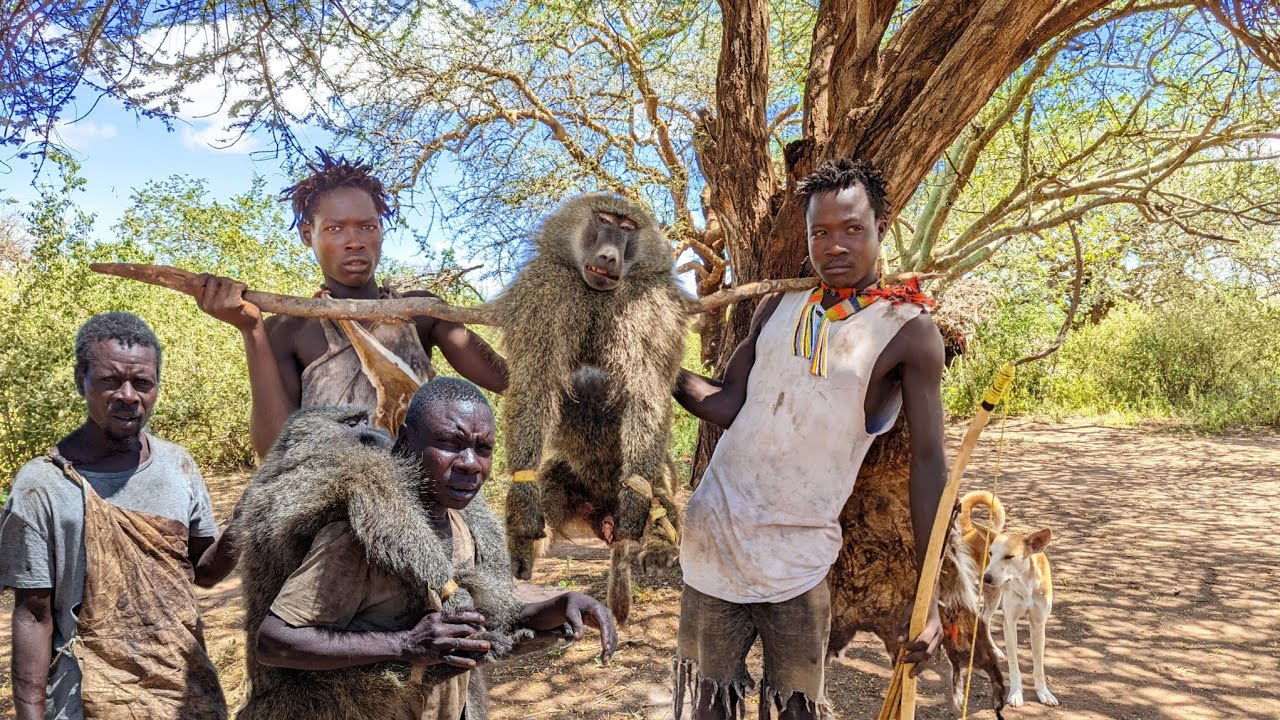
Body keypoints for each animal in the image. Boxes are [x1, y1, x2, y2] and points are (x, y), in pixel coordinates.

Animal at [495, 192, 687, 625]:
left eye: (627, 228)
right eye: (603, 220)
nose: (609, 256)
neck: (597, 294)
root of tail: (603, 518)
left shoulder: (653, 308)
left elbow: (646, 393)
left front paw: (640, 508)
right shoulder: (547, 289)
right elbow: (535, 384)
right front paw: (522, 509)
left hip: (653, 485)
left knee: (658, 498)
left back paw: (657, 544)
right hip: (570, 491)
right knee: (549, 487)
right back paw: (520, 553)